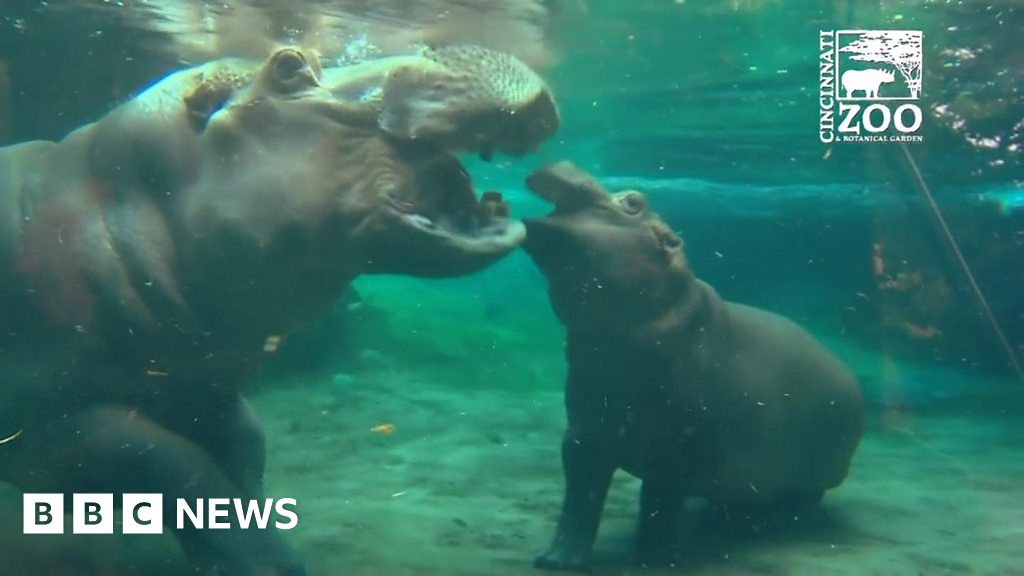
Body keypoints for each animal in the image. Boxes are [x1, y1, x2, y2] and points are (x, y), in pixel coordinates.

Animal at [0, 45, 557, 575]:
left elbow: (246, 449)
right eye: (289, 66)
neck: (104, 205)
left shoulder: (207, 388)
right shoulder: (47, 424)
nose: (438, 47)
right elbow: (169, 462)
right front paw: (269, 562)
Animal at [522, 162, 864, 571]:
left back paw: (763, 522)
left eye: (633, 202)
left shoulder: (684, 445)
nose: (563, 164)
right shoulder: (585, 432)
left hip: (809, 475)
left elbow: (659, 499)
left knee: (801, 500)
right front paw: (555, 560)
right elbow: (579, 498)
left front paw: (652, 559)